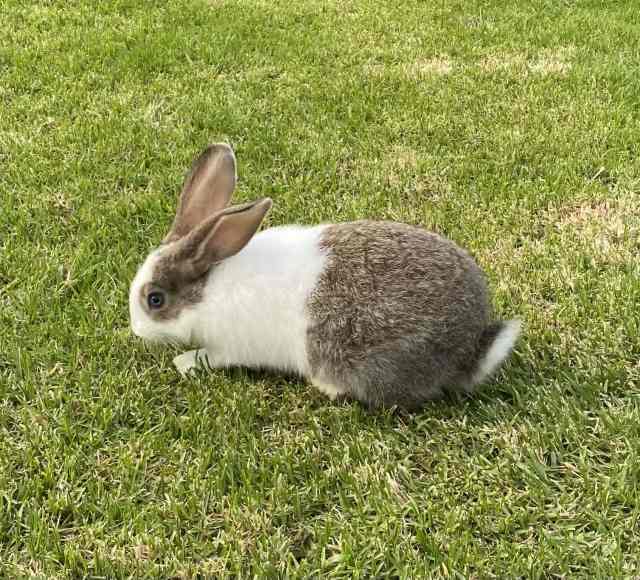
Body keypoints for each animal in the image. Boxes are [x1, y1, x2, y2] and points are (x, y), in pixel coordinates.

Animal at [129, 143, 521, 410]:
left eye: (155, 300)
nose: (136, 330)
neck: (207, 290)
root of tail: (468, 350)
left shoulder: (228, 346)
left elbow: (208, 356)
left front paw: (183, 363)